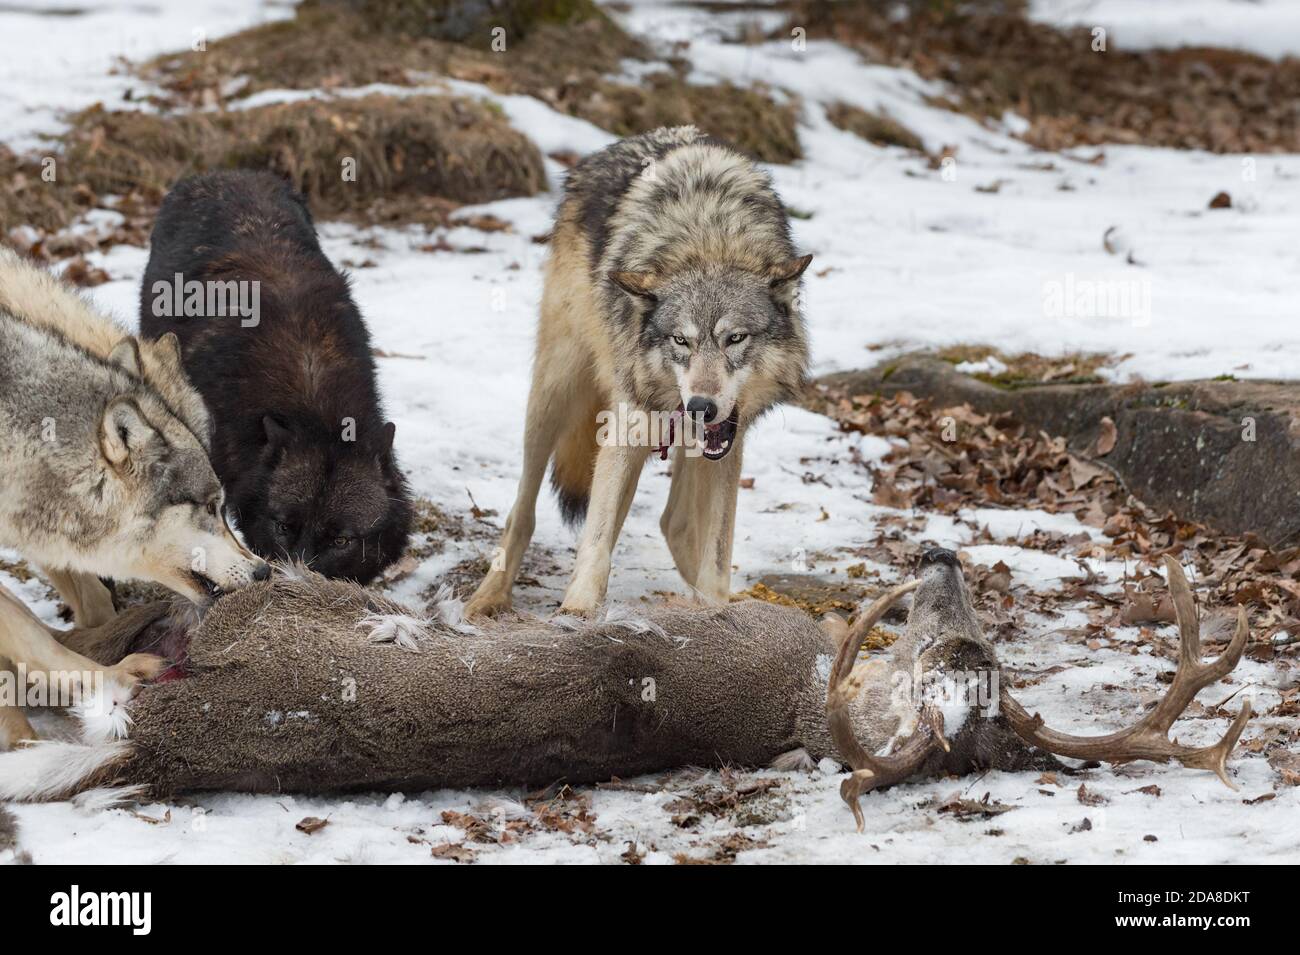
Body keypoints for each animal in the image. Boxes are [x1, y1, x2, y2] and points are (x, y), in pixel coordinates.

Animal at [466, 127, 812, 617]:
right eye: (680, 341)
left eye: (735, 339)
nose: (701, 407)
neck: (709, 242)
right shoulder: (626, 426)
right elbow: (594, 541)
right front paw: (577, 611)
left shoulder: (728, 442)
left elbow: (717, 553)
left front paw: (717, 611)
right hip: (556, 395)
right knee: (523, 510)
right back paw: (488, 597)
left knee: (675, 522)